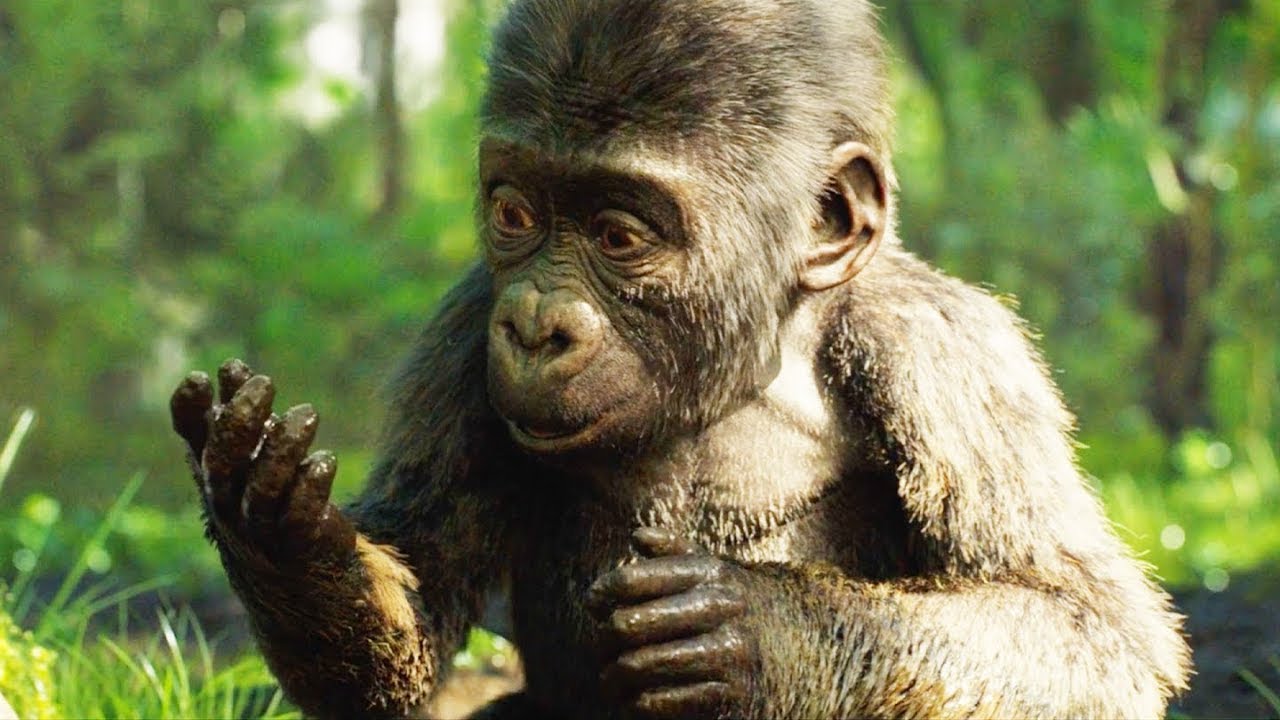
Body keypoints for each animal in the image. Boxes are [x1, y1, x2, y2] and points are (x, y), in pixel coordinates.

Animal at [169, 0, 1191, 717]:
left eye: (619, 235)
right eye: (515, 212)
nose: (533, 325)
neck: (752, 352)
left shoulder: (945, 356)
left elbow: (1090, 625)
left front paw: (760, 630)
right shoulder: (462, 332)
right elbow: (417, 604)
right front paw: (277, 527)